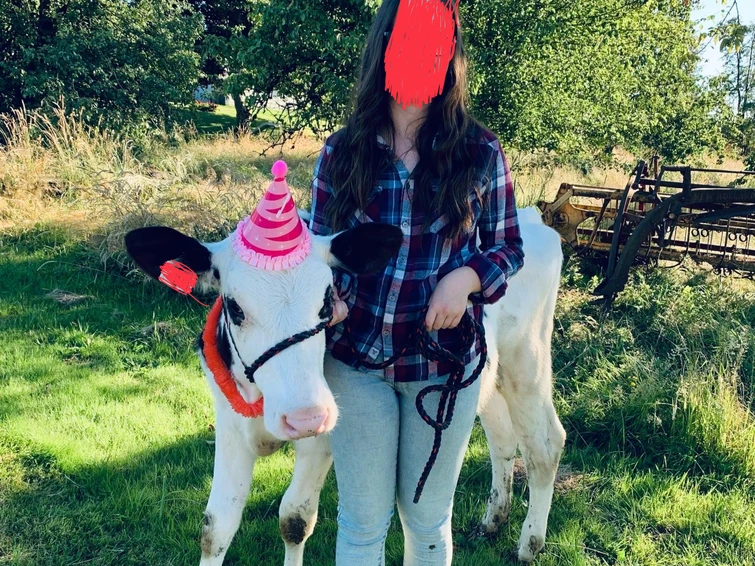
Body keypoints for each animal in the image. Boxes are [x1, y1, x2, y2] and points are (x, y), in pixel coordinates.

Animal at [123, 204, 565, 565]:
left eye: (327, 299)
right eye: (234, 307)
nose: (303, 417)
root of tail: (531, 217)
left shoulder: (320, 440)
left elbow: (294, 519)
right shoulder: (231, 429)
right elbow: (216, 527)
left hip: (527, 362)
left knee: (545, 445)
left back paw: (529, 544)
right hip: (487, 377)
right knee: (502, 439)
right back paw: (493, 520)